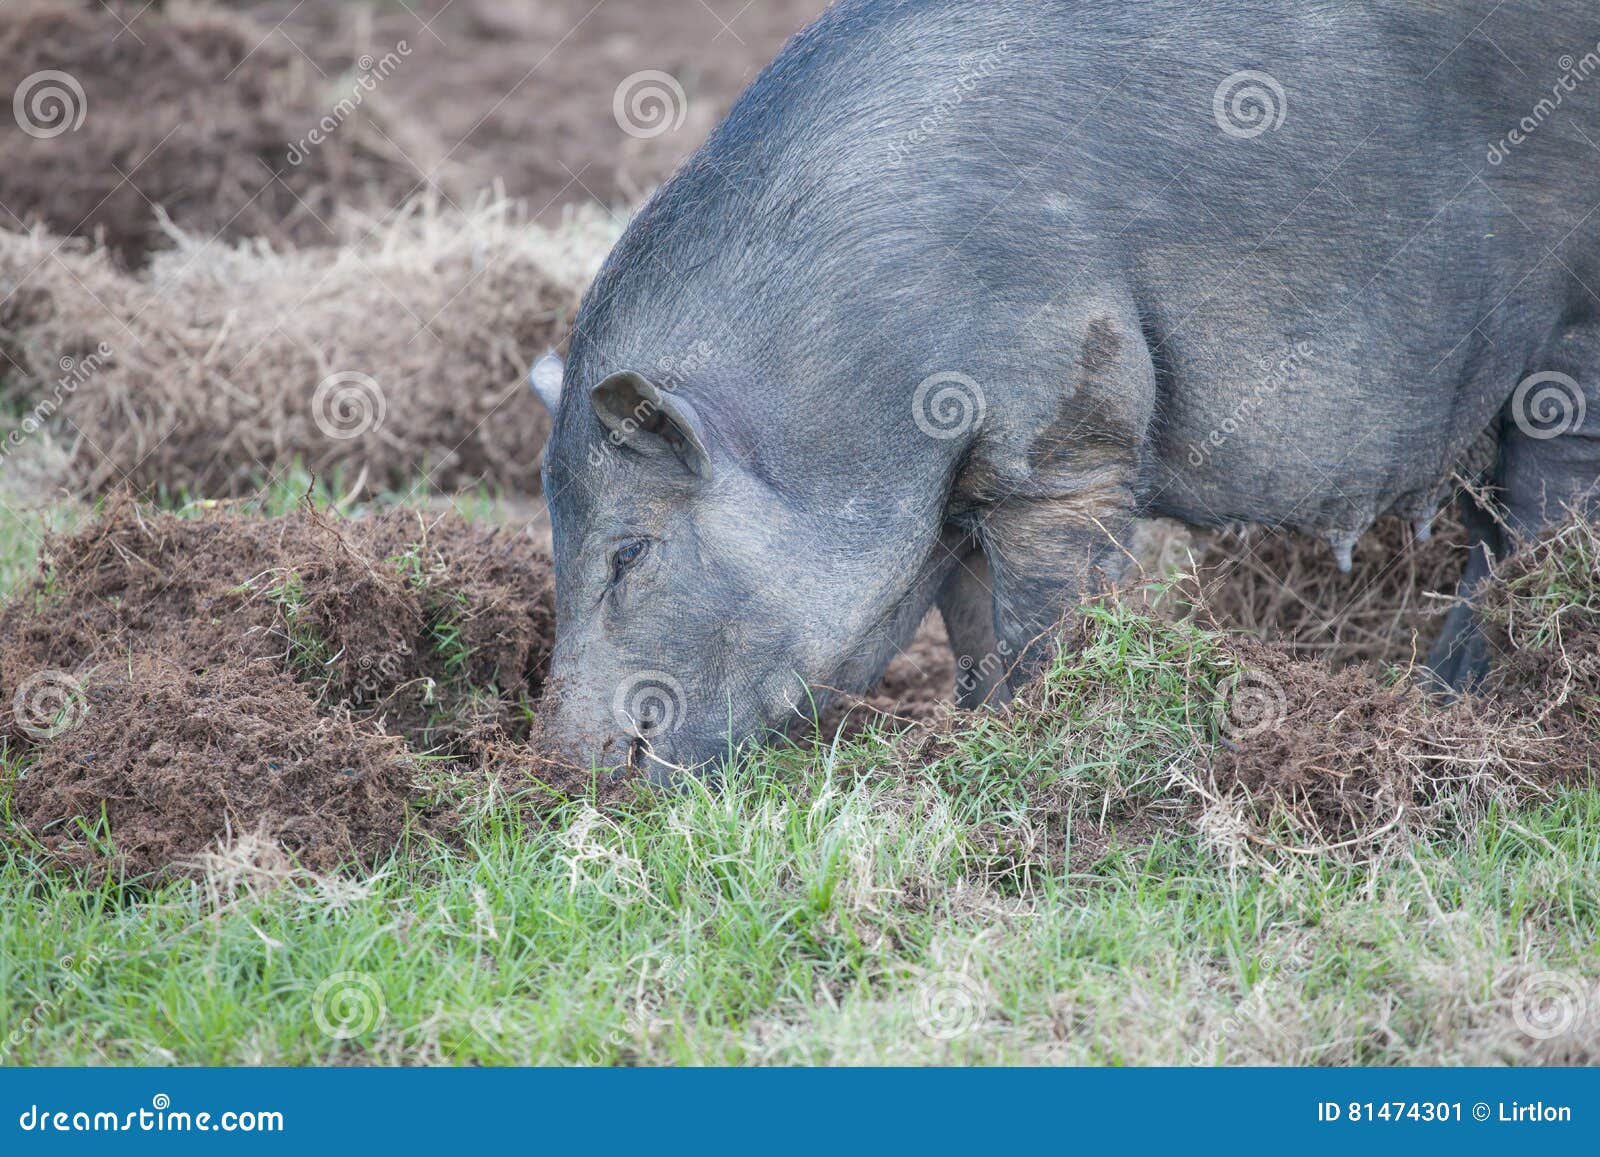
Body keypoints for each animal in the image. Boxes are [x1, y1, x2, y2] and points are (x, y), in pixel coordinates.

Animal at [533, 0, 1600, 778]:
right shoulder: (955, 500)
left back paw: (1460, 696)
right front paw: (966, 724)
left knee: (1537, 510)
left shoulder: (1064, 440)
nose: (557, 765)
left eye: (628, 554)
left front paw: (1017, 735)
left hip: (1571, 346)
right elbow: (969, 620)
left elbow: (1042, 610)